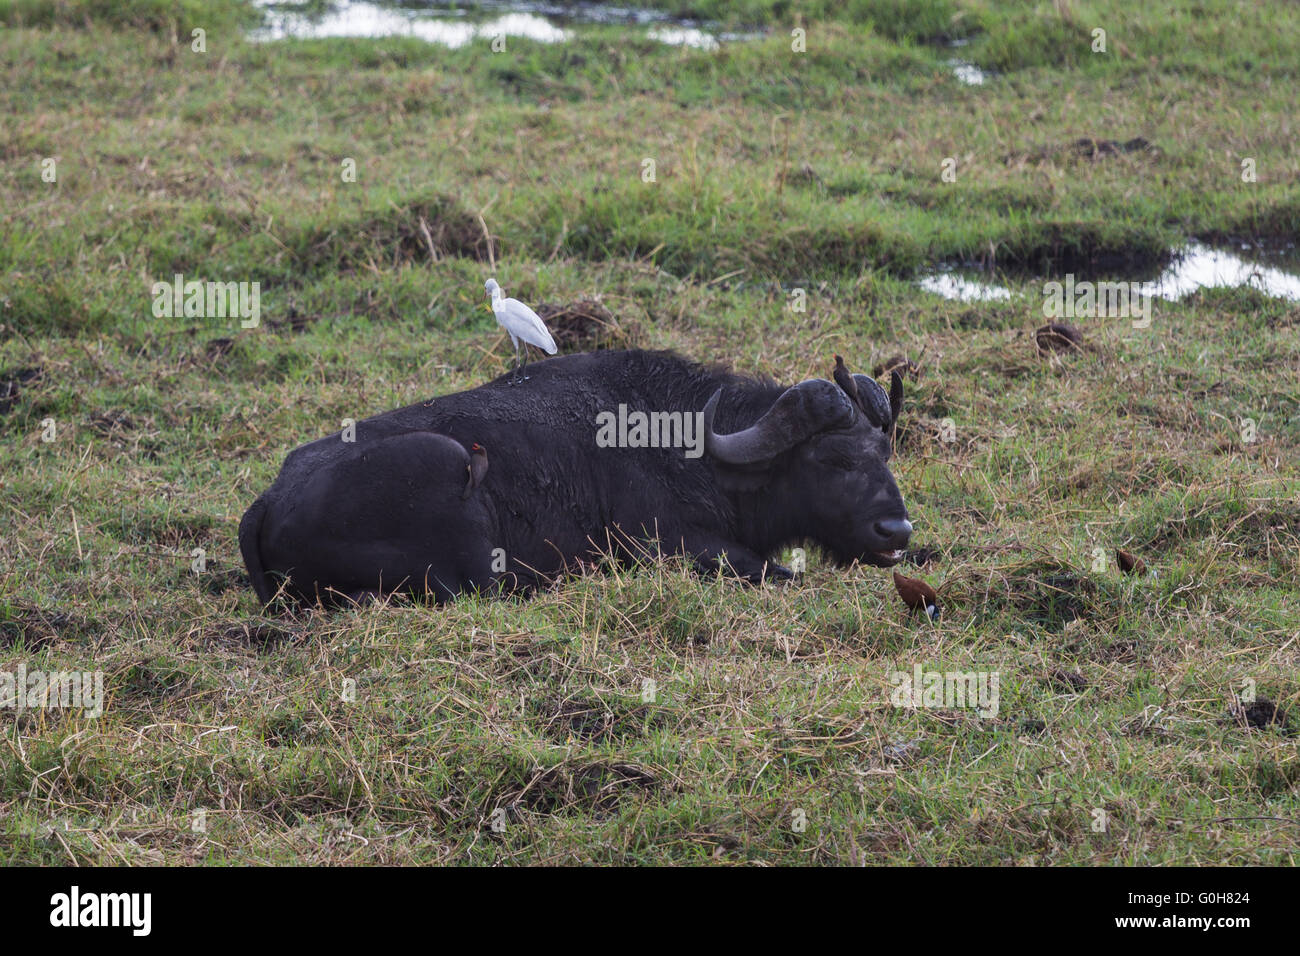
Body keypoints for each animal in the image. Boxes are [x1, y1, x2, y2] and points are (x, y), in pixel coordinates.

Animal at [238, 349, 912, 605]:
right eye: (831, 460)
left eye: (883, 449)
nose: (897, 531)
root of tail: (268, 502)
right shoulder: (676, 545)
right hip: (448, 472)